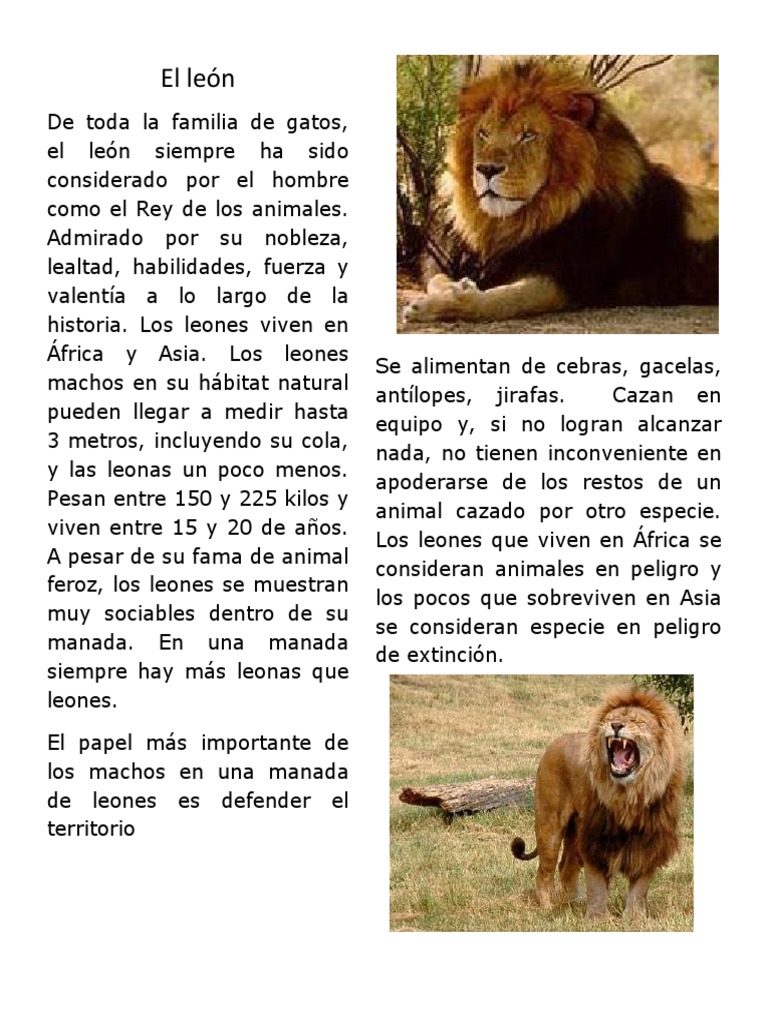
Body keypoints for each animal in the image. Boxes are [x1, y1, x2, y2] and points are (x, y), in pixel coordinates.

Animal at [402, 60, 718, 323]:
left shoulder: (566, 279)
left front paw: (440, 304)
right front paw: (446, 292)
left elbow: (503, 300)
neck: (507, 224)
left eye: (528, 135)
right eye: (483, 133)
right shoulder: (439, 258)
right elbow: (437, 280)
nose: (486, 169)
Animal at [511, 686, 686, 919]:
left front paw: (634, 918)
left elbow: (640, 887)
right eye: (611, 719)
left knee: (566, 866)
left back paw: (573, 902)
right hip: (550, 824)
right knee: (544, 871)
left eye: (637, 721)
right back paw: (548, 907)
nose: (616, 726)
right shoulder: (596, 837)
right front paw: (597, 919)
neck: (630, 795)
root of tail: (555, 742)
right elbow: (596, 884)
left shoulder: (651, 840)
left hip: (575, 829)